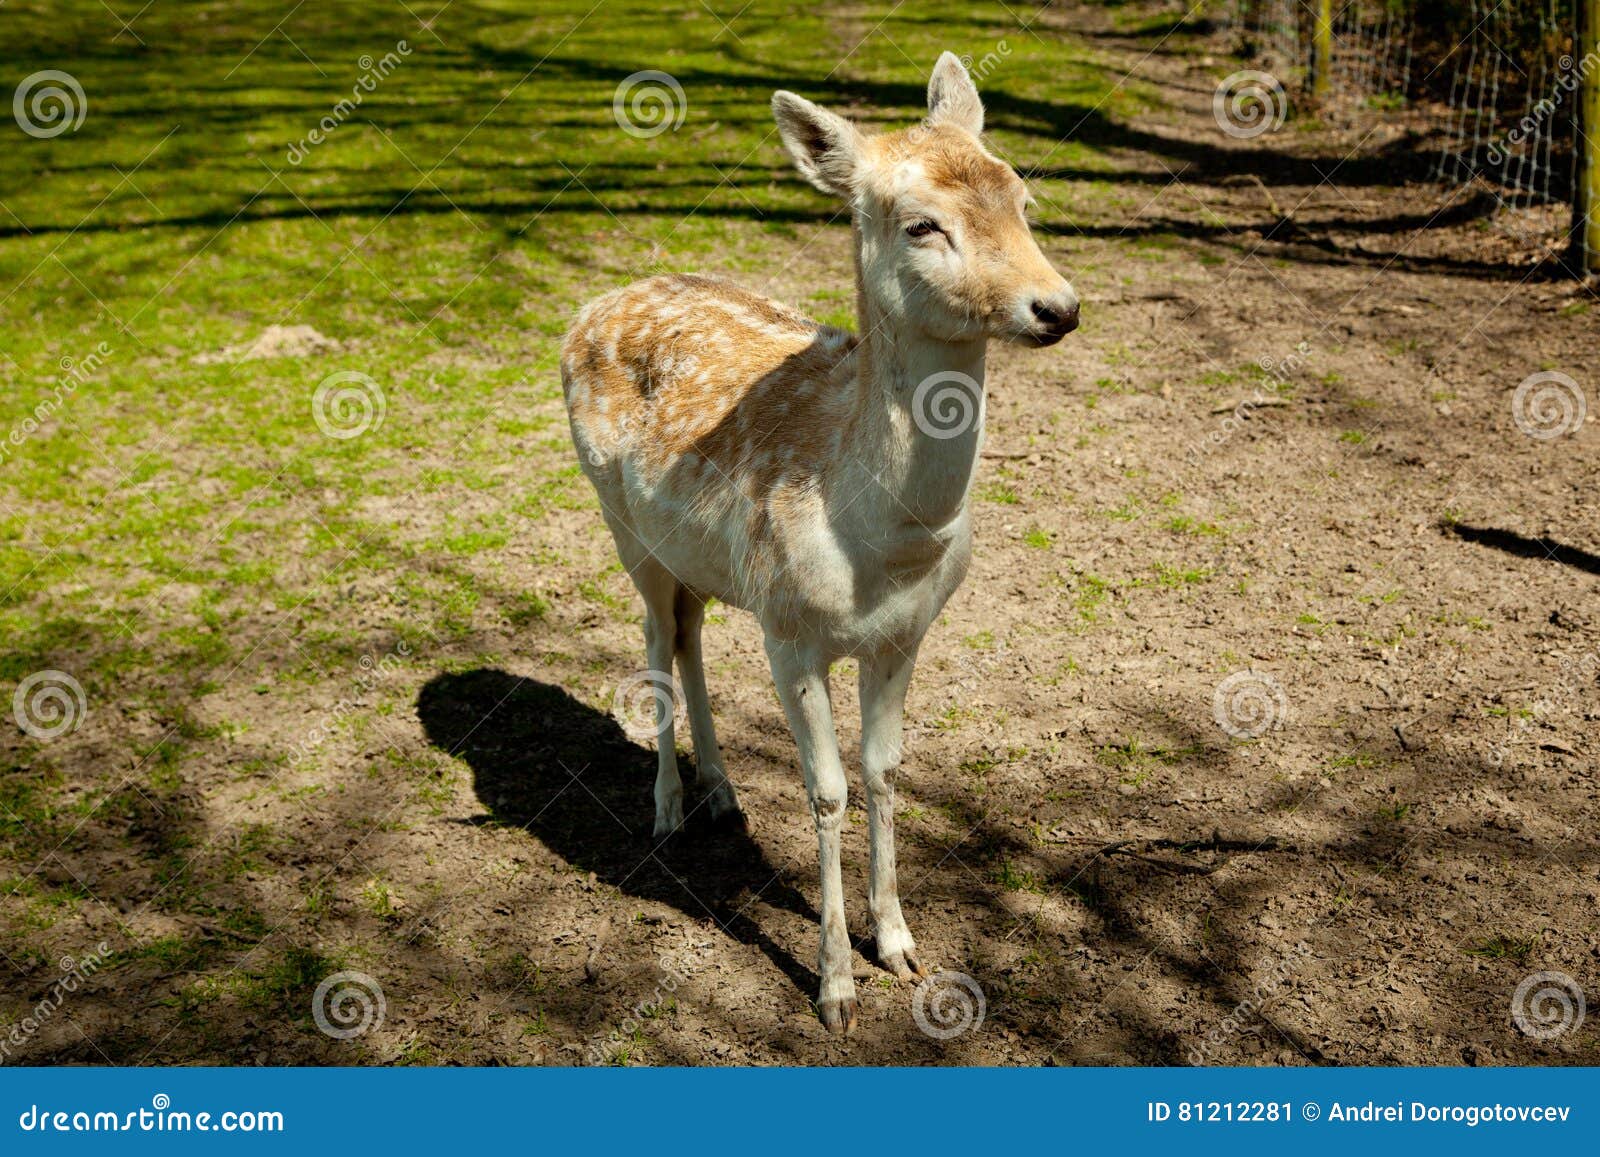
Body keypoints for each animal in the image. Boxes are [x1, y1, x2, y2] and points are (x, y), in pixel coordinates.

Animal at [560, 52, 1078, 1033]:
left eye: (1023, 198)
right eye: (923, 224)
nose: (1057, 307)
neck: (882, 543)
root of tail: (594, 302)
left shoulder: (905, 634)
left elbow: (884, 772)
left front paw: (901, 945)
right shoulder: (791, 630)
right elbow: (827, 789)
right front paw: (835, 987)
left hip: (699, 559)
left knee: (689, 632)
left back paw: (724, 795)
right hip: (620, 521)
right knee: (652, 636)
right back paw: (669, 810)